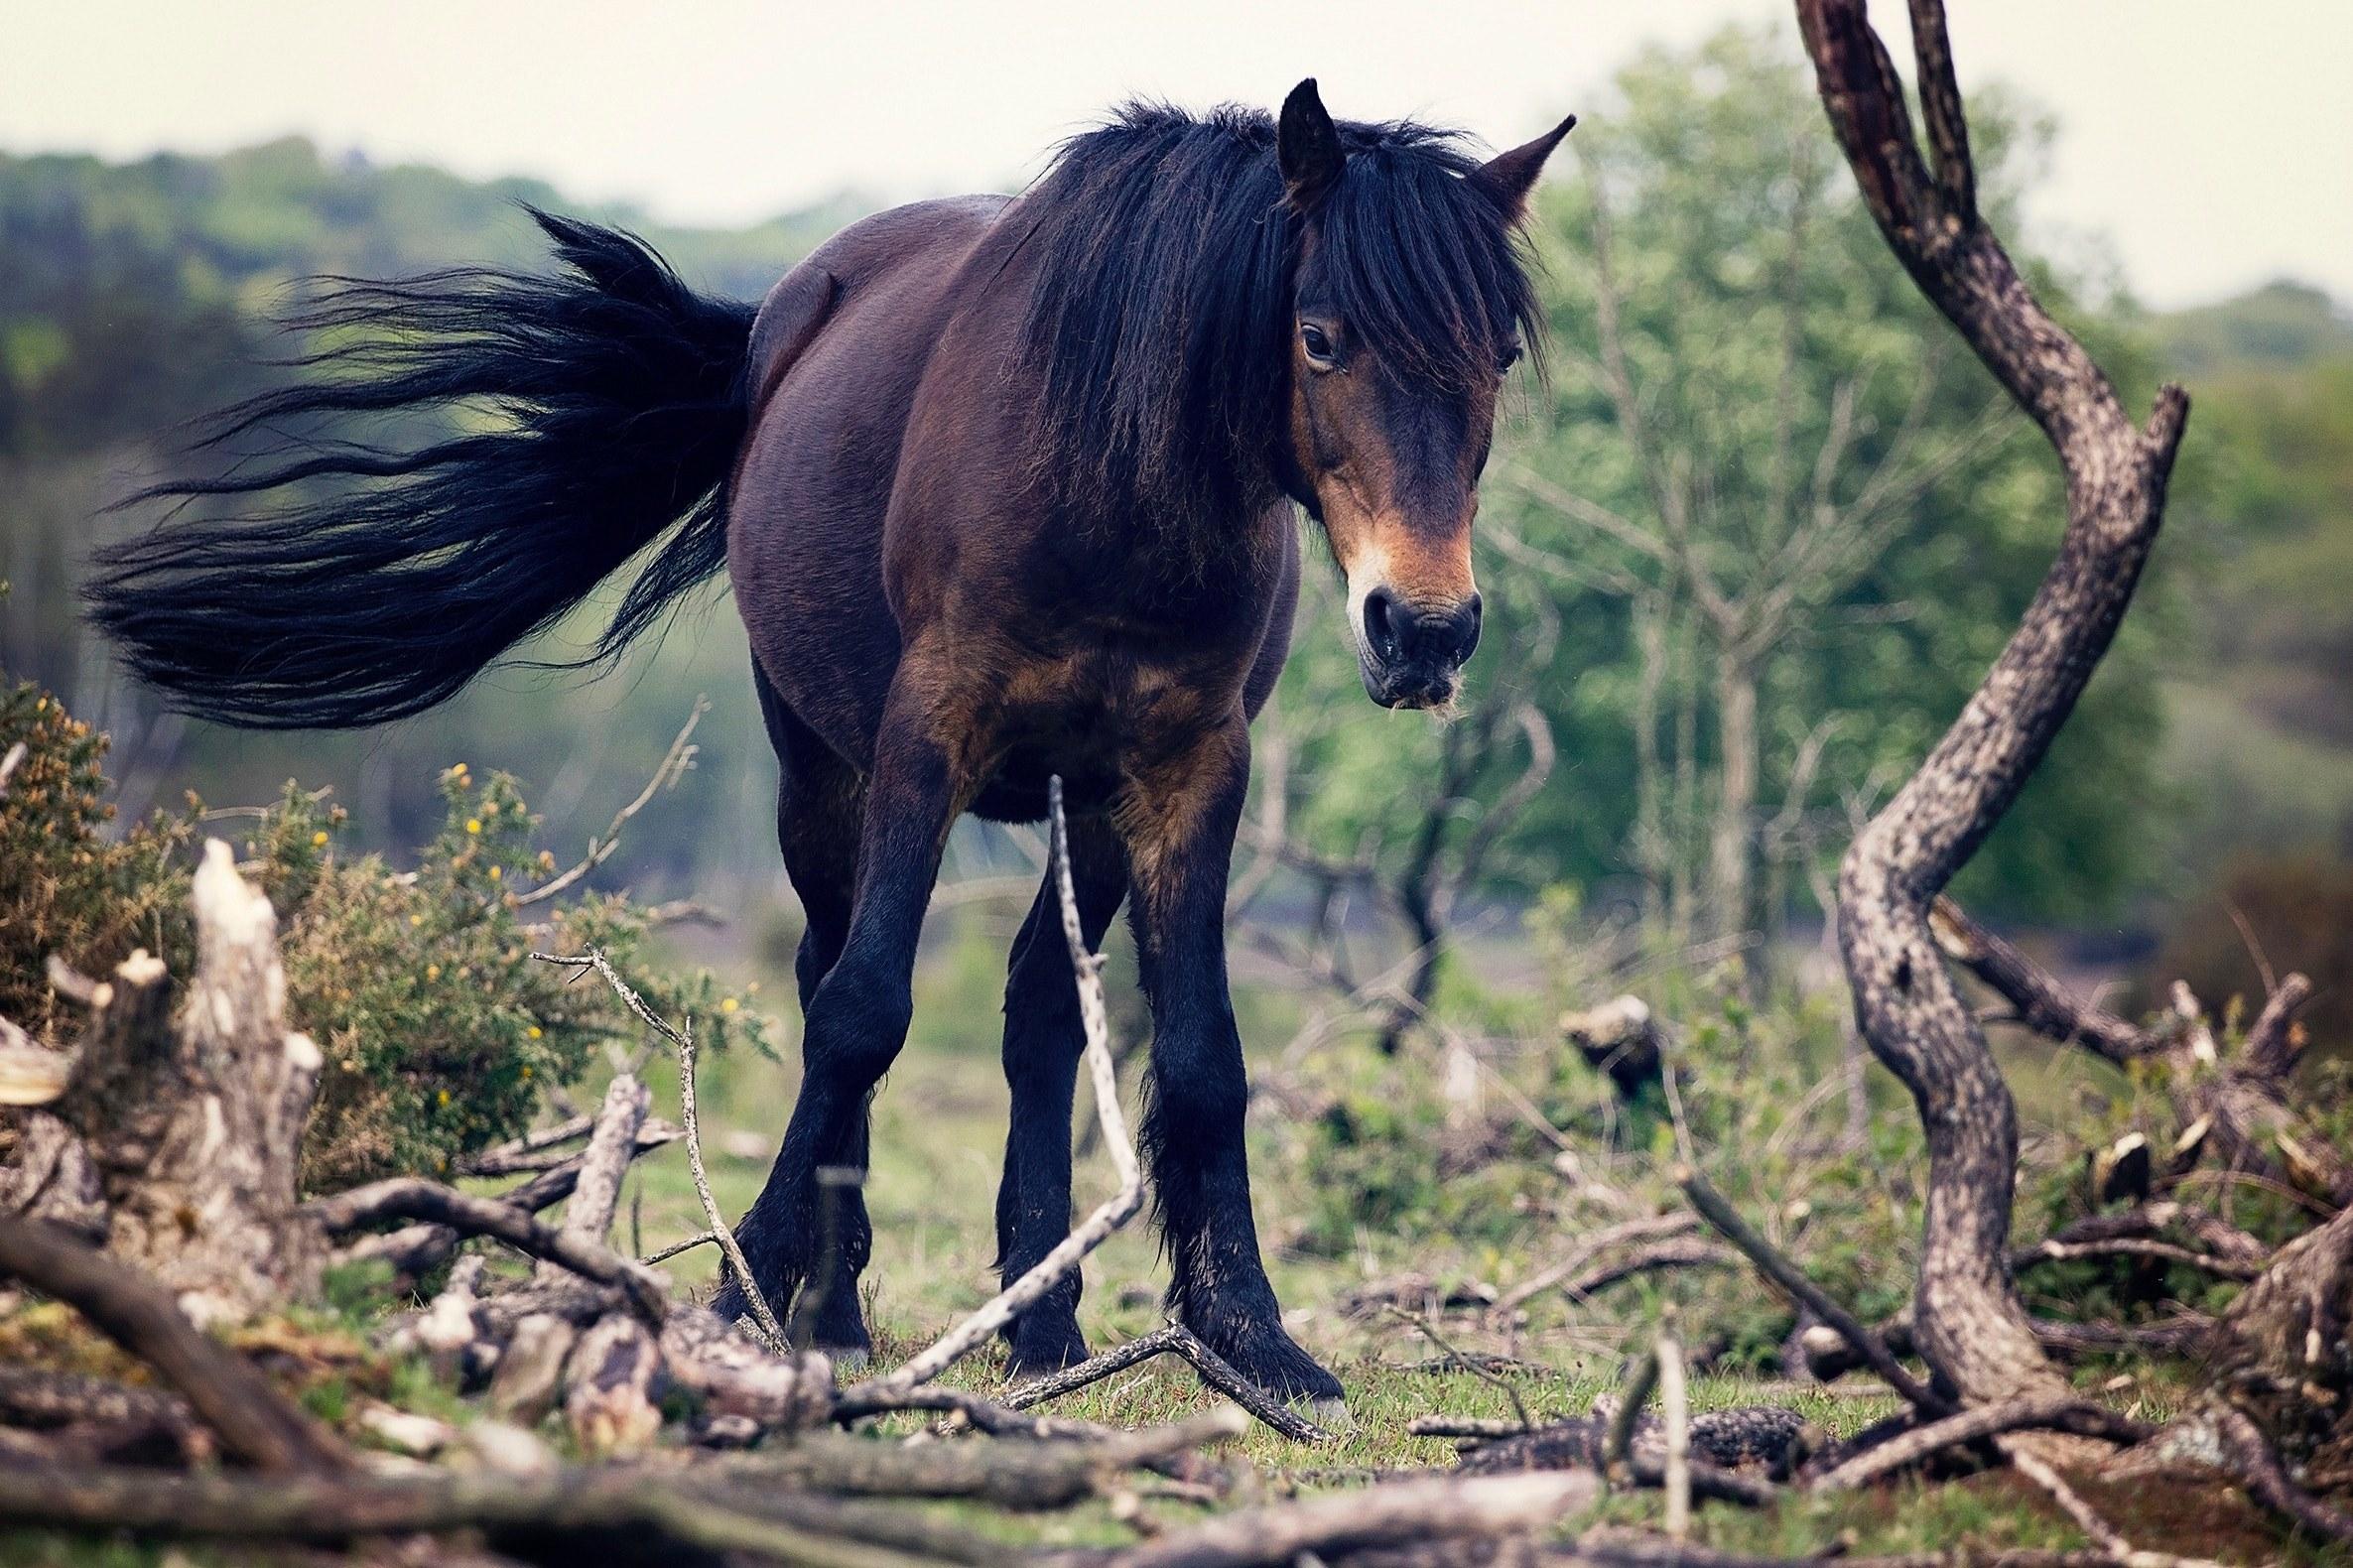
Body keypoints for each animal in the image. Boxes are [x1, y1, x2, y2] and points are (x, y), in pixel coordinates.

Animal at [89, 80, 1573, 1410]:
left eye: (1495, 358)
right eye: (1320, 337)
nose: (1422, 630)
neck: (1110, 484)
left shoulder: (1186, 768)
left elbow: (1202, 1053)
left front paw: (1252, 1336)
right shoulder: (927, 738)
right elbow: (862, 1011)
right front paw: (744, 1285)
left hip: (1075, 803)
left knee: (1039, 1013)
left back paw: (1039, 1323)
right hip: (822, 767)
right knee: (827, 975)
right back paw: (836, 1306)